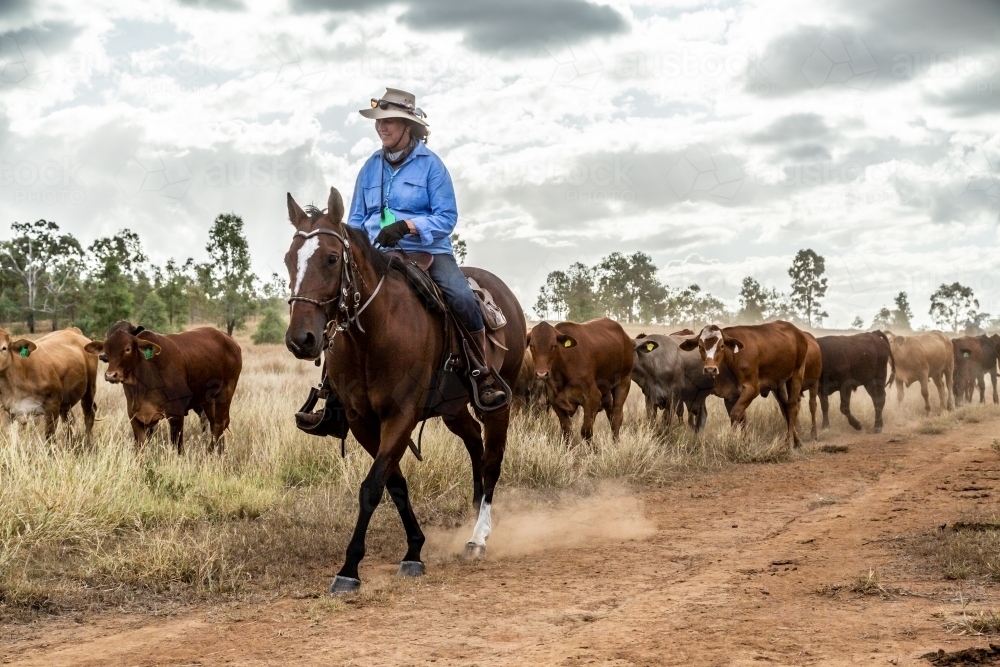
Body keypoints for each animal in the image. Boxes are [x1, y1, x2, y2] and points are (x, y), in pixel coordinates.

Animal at [84, 322, 242, 453]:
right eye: (107, 348)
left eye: (127, 349)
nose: (111, 375)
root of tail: (229, 340)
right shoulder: (135, 416)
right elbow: (140, 446)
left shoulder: (176, 414)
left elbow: (177, 447)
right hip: (208, 400)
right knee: (214, 424)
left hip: (225, 393)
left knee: (219, 424)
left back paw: (210, 454)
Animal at [679, 321, 809, 449]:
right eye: (700, 346)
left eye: (722, 346)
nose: (710, 369)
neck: (732, 358)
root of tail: (797, 331)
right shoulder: (731, 394)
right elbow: (742, 418)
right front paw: (745, 442)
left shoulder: (751, 389)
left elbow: (735, 414)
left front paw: (731, 440)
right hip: (778, 384)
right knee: (785, 408)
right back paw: (797, 441)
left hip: (796, 375)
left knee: (792, 407)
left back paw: (788, 442)